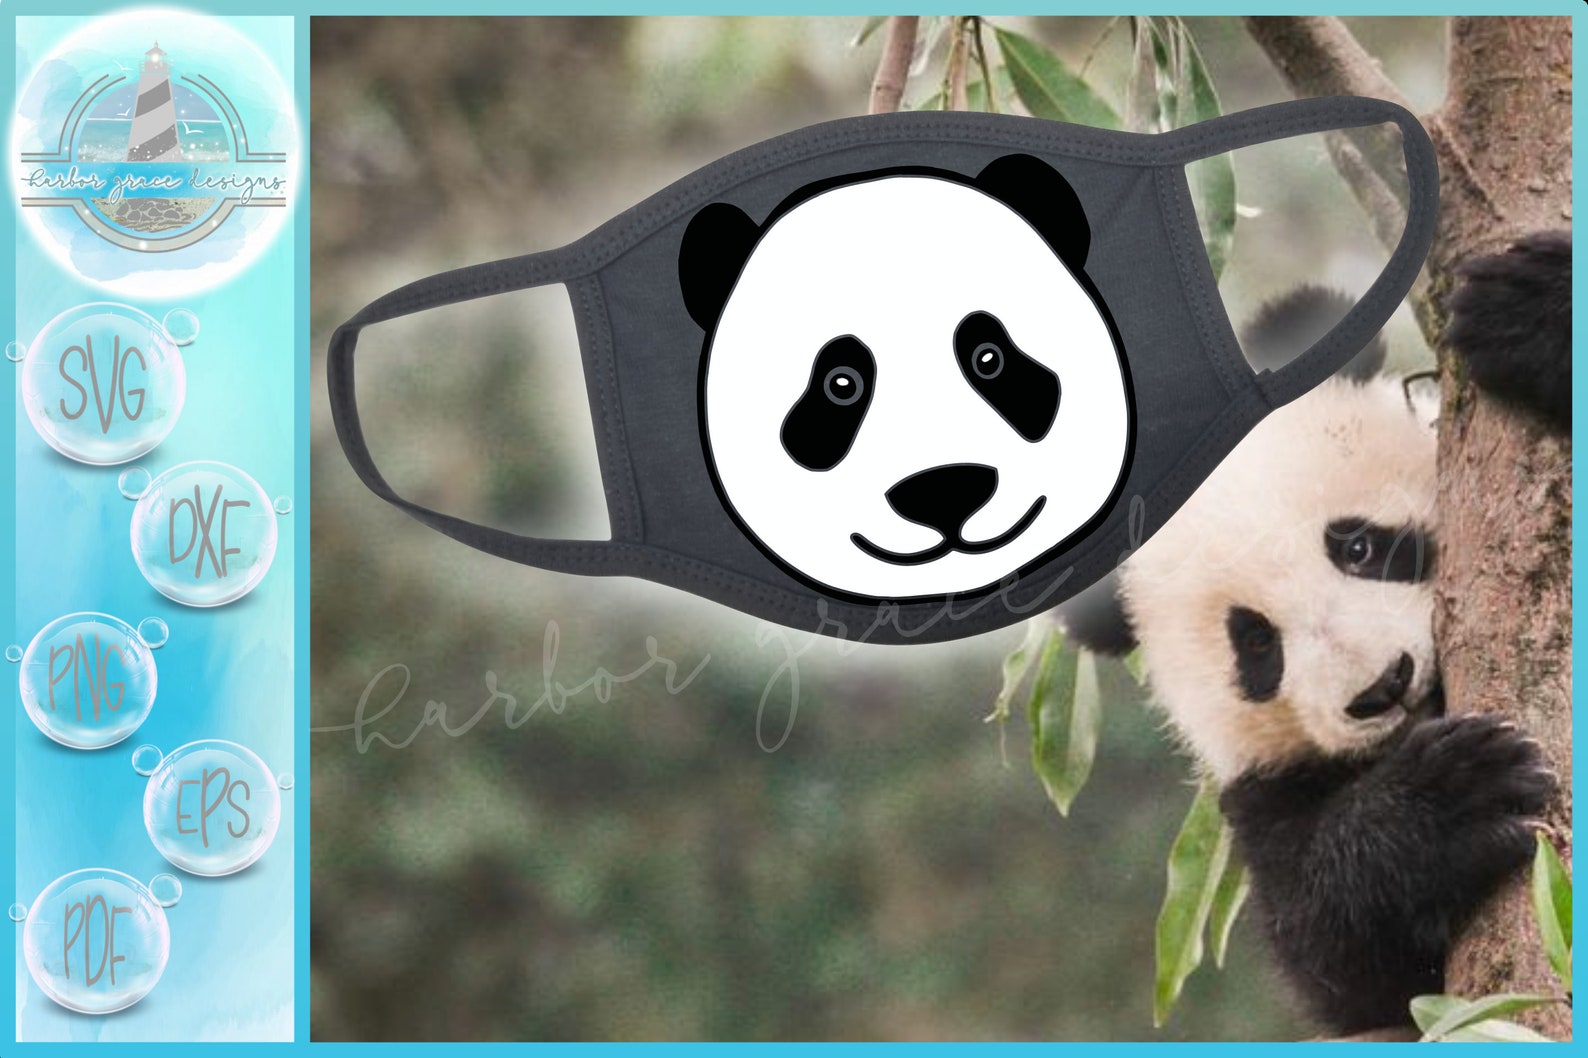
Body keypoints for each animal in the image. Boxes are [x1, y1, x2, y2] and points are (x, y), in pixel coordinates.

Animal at [1058, 231, 1570, 1035]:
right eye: (1256, 644)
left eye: (1356, 545)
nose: (1384, 687)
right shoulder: (1264, 789)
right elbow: (1337, 953)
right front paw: (1456, 798)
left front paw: (1532, 308)